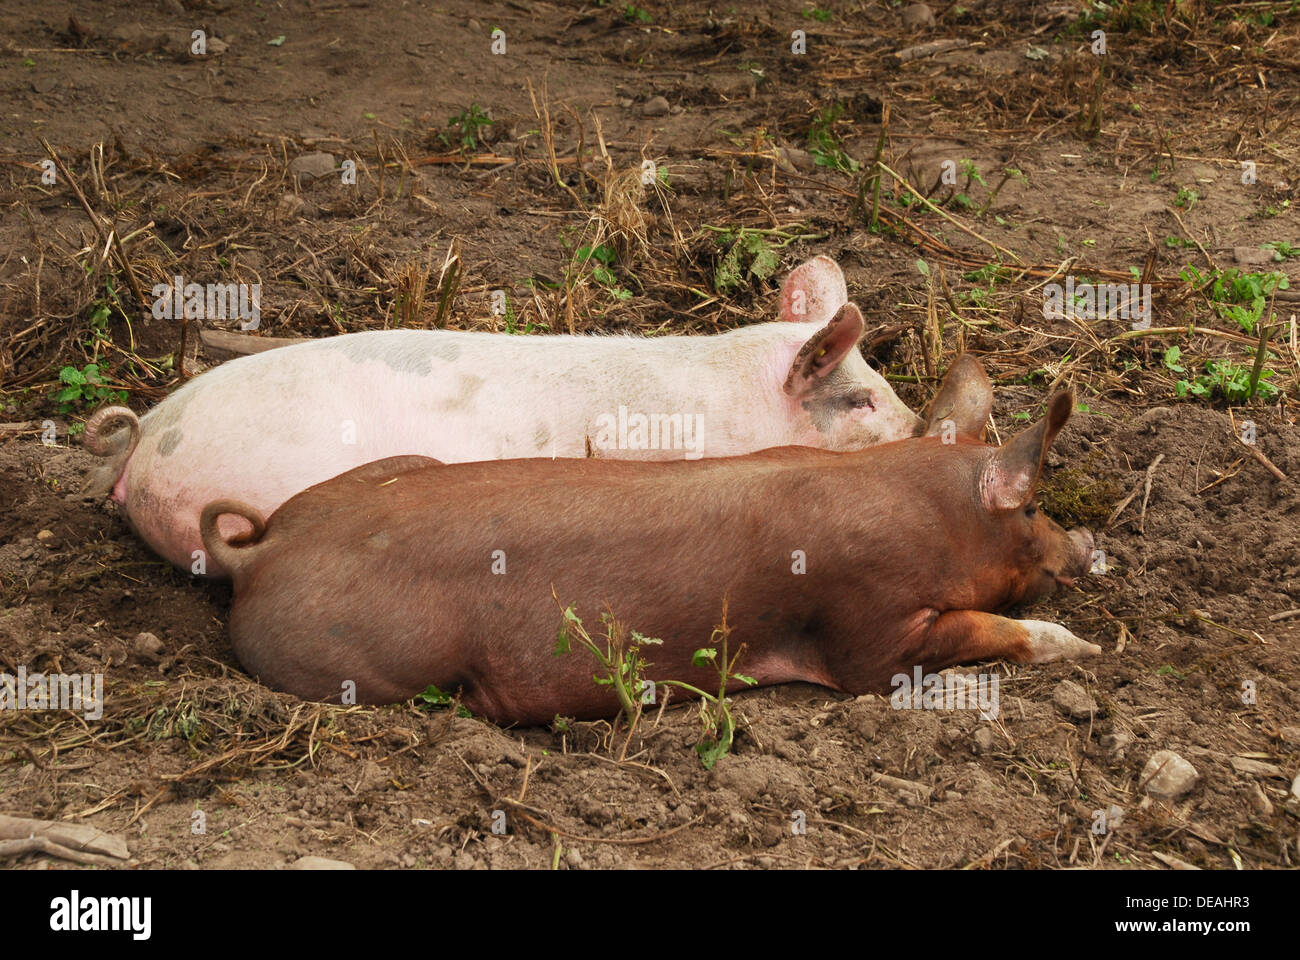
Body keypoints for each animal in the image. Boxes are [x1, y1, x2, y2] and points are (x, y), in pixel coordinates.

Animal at [199, 362, 1100, 725]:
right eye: (1031, 509)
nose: (1087, 547)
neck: (929, 509)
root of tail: (263, 554)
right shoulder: (869, 631)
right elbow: (973, 632)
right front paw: (1081, 648)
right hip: (379, 661)